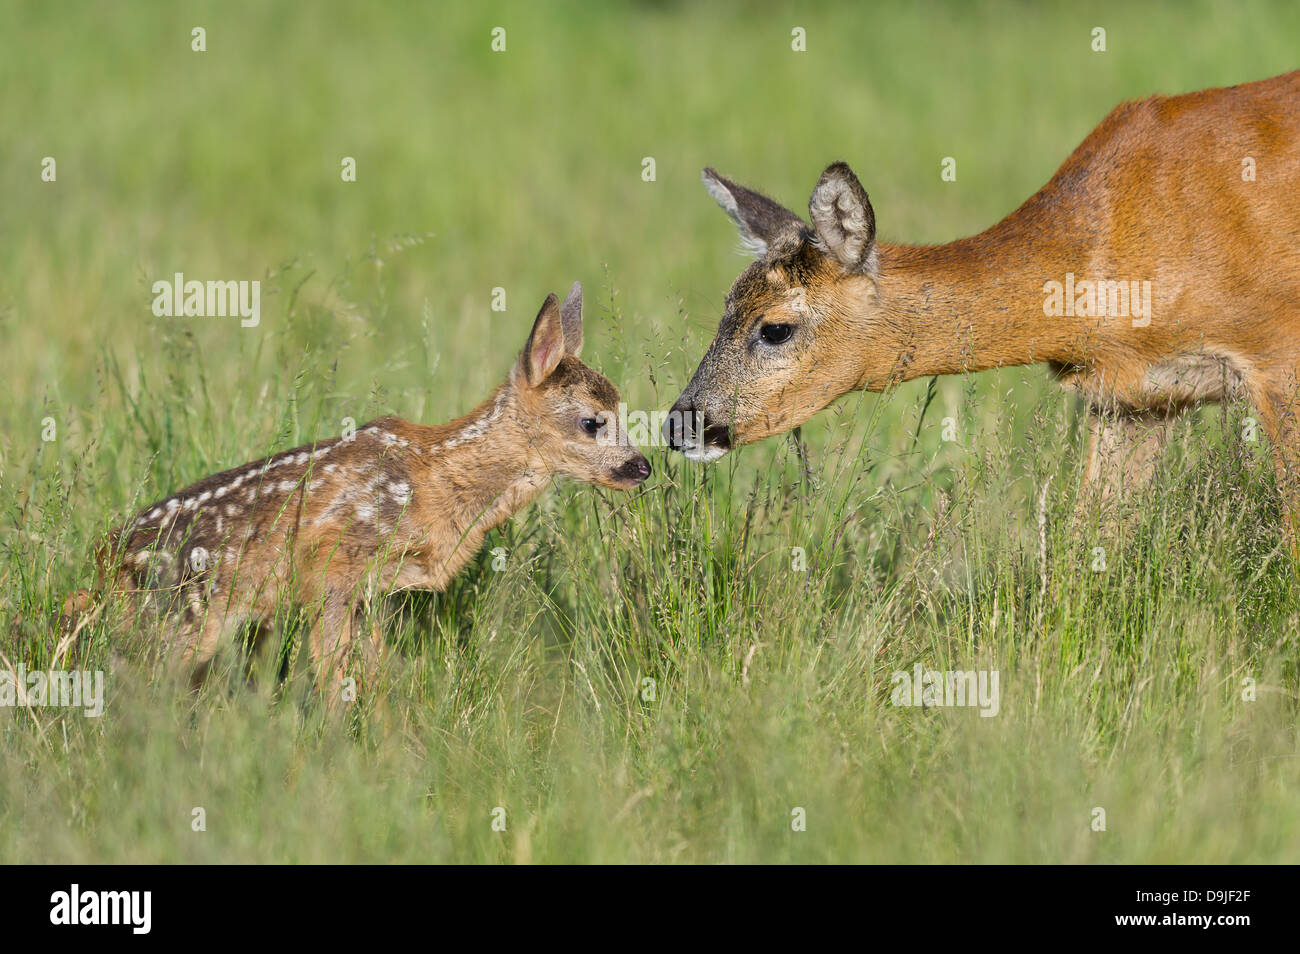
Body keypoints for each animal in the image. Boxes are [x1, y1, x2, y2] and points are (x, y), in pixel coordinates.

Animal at [99, 283, 651, 702]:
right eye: (593, 421)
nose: (642, 466)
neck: (433, 480)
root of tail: (107, 563)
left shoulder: (368, 591)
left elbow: (376, 675)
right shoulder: (330, 565)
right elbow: (334, 676)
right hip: (184, 617)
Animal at [665, 70, 1300, 543]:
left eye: (775, 328)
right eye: (724, 307)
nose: (678, 423)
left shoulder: (1276, 350)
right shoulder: (1133, 400)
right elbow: (1090, 539)